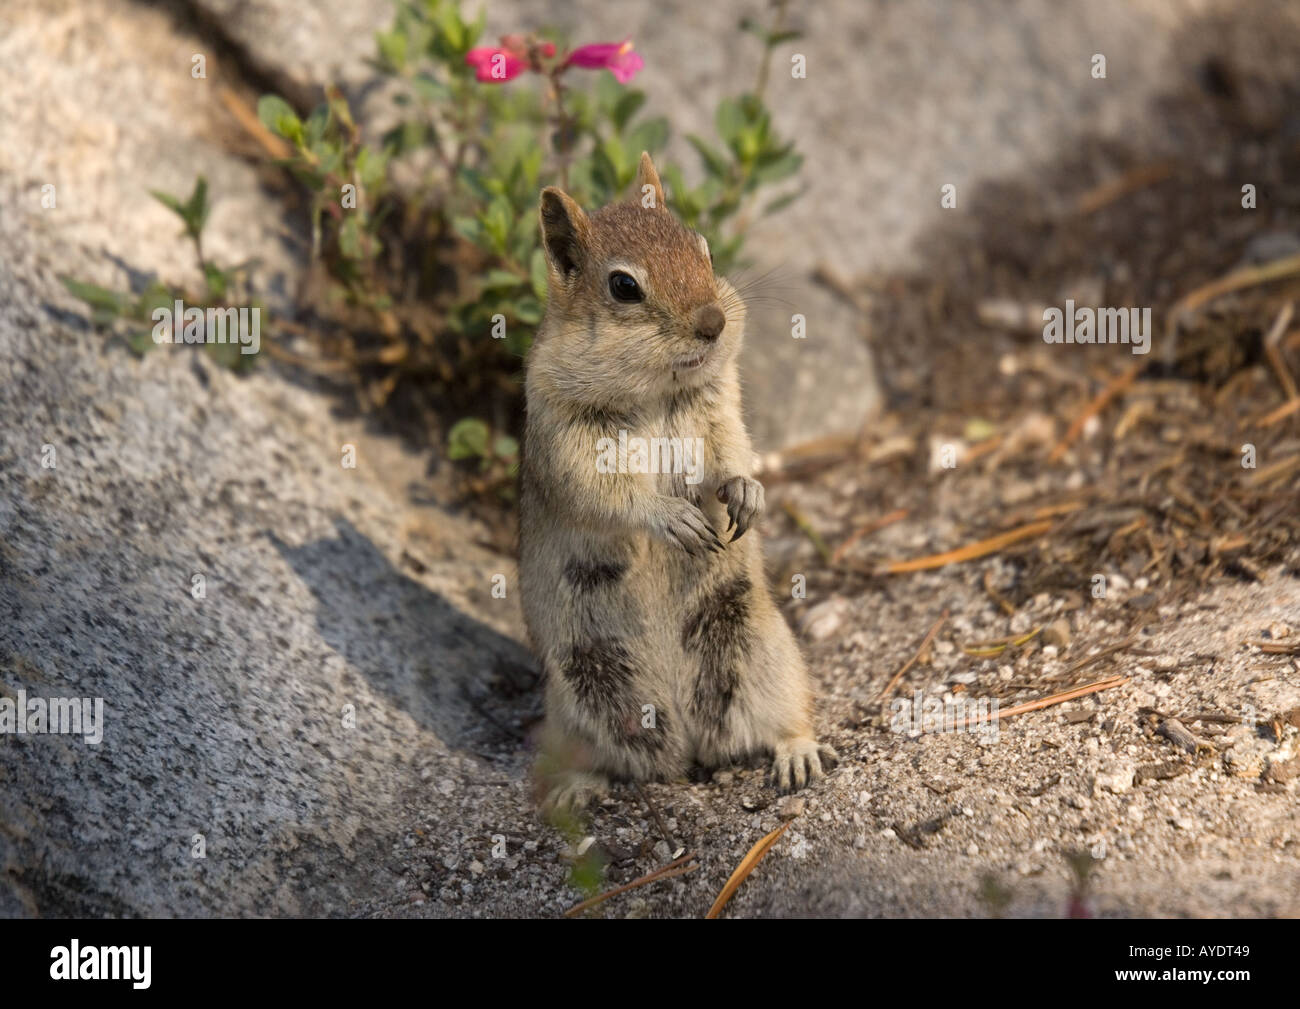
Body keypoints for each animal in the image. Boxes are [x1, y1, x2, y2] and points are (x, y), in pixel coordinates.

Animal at [519, 152, 837, 814]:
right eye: (623, 286)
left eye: (704, 249)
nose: (714, 321)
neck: (655, 391)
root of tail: (690, 747)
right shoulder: (566, 434)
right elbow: (602, 492)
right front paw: (672, 516)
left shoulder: (719, 409)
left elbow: (733, 450)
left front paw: (747, 492)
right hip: (576, 701)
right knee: (603, 758)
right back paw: (575, 789)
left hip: (767, 655)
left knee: (786, 718)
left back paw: (797, 753)